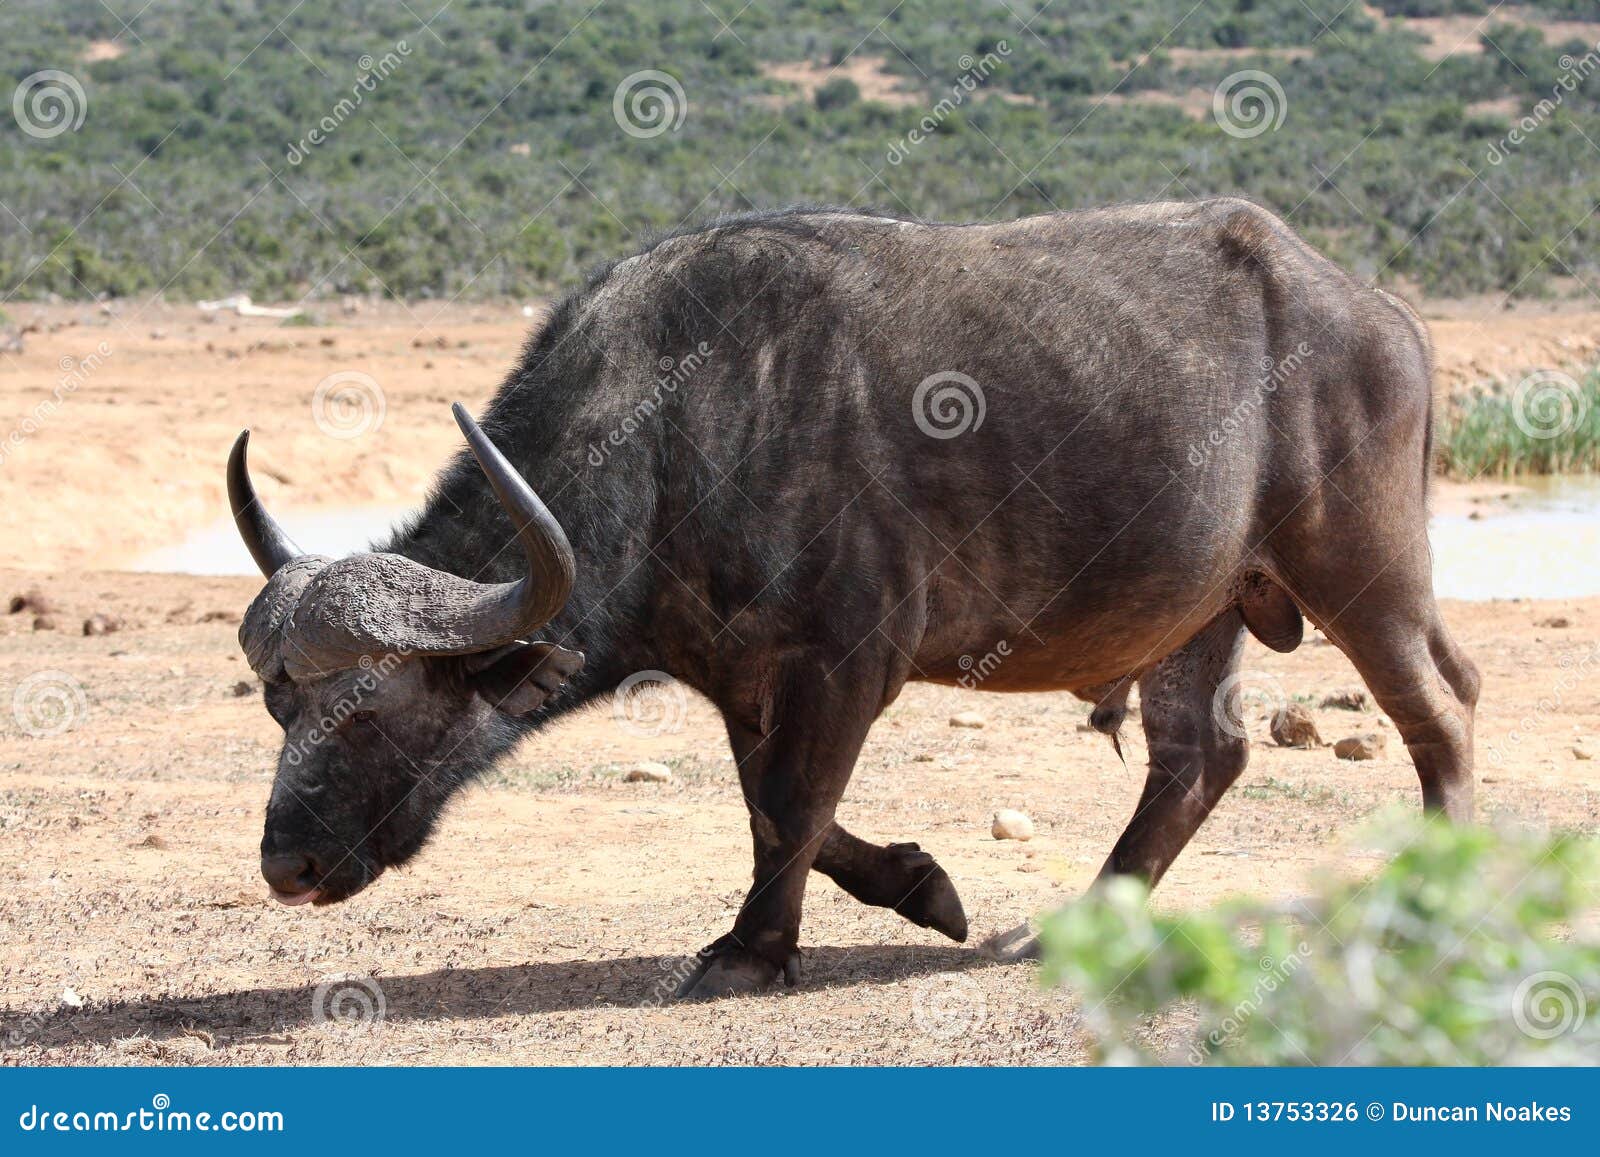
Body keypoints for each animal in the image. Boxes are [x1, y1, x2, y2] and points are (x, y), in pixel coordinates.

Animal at [229, 199, 1478, 999]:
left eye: (370, 709)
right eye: (281, 708)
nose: (287, 866)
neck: (686, 427)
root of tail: (1375, 313)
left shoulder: (848, 660)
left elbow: (792, 799)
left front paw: (751, 949)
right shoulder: (740, 677)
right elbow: (782, 806)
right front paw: (920, 886)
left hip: (1360, 570)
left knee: (1439, 706)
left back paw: (1439, 894)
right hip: (1200, 611)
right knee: (1199, 759)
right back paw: (1087, 919)